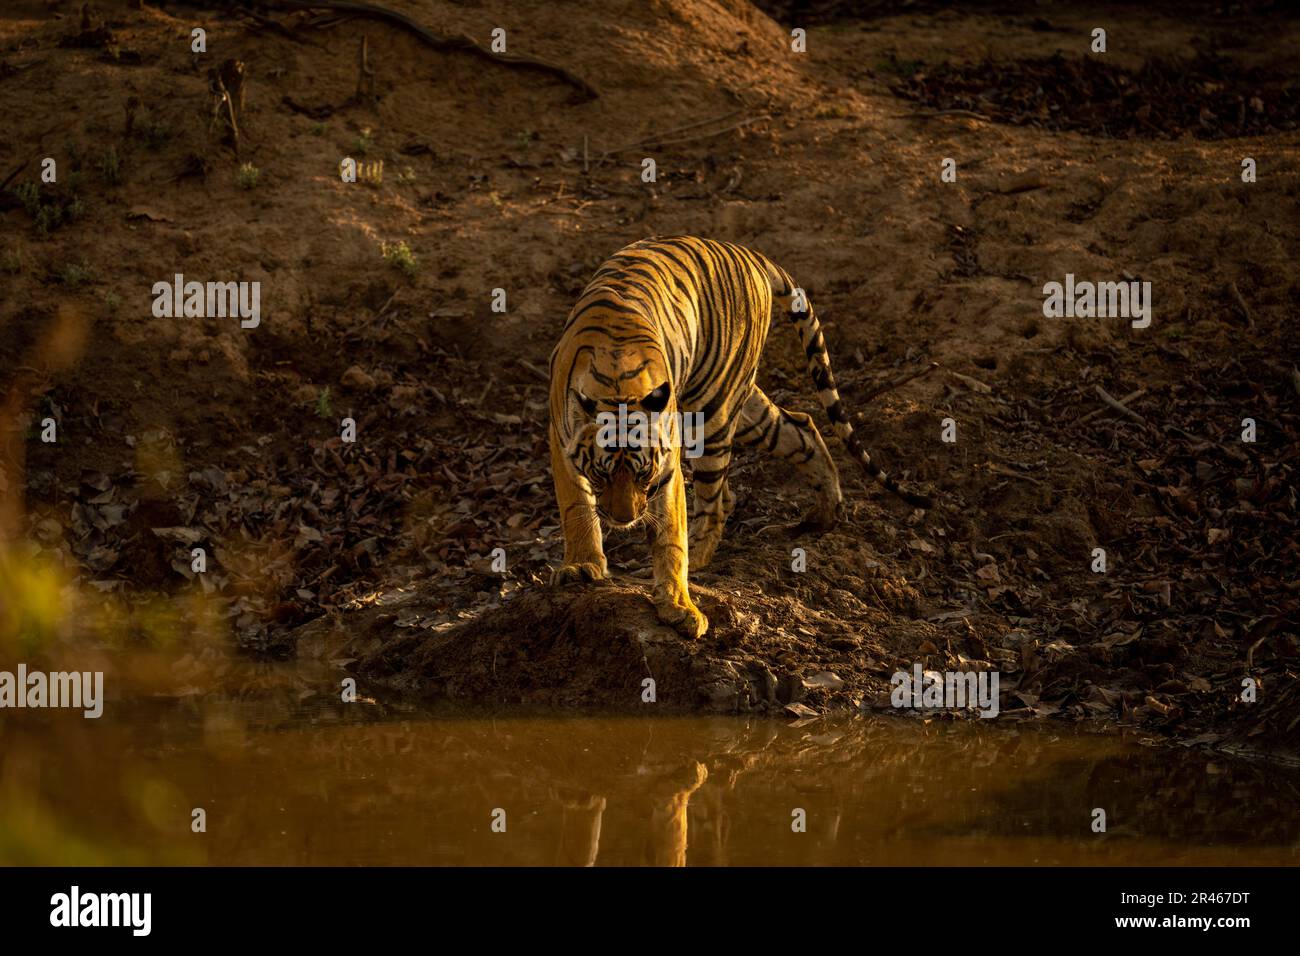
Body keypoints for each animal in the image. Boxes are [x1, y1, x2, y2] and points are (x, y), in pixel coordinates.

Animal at [548, 236, 930, 639]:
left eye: (643, 476)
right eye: (602, 475)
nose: (626, 518)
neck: (618, 383)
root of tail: (750, 254)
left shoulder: (667, 465)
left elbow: (672, 535)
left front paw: (680, 606)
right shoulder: (562, 443)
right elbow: (576, 507)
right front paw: (581, 567)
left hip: (712, 409)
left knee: (717, 501)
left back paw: (700, 558)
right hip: (740, 405)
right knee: (800, 427)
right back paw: (824, 515)